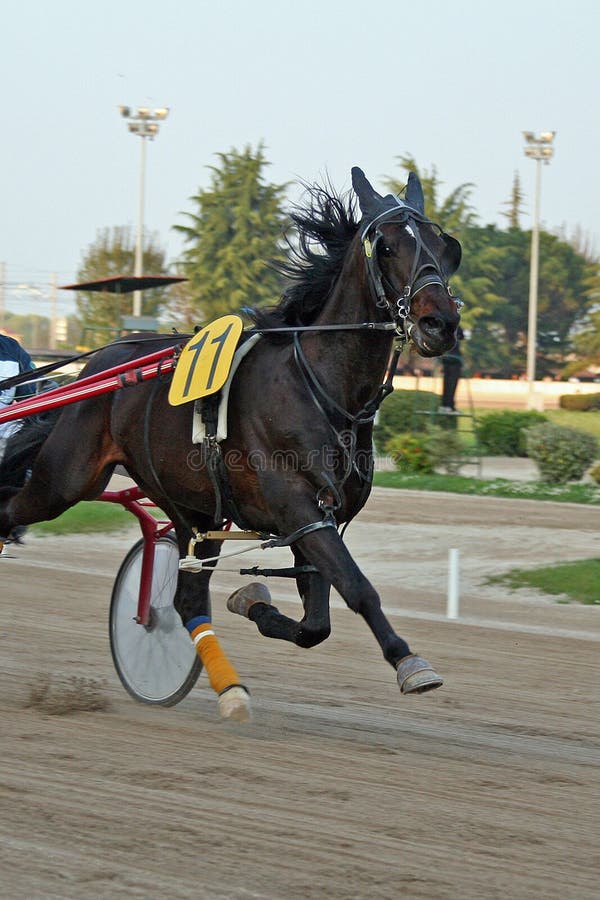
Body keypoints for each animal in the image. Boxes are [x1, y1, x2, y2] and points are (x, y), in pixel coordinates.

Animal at [0, 166, 462, 721]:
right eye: (388, 246)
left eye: (446, 246)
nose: (441, 323)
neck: (322, 386)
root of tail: (98, 362)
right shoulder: (300, 508)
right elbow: (358, 588)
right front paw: (409, 662)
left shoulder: (317, 520)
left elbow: (315, 625)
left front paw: (252, 598)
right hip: (66, 478)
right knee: (9, 509)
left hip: (191, 505)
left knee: (187, 598)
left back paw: (229, 688)